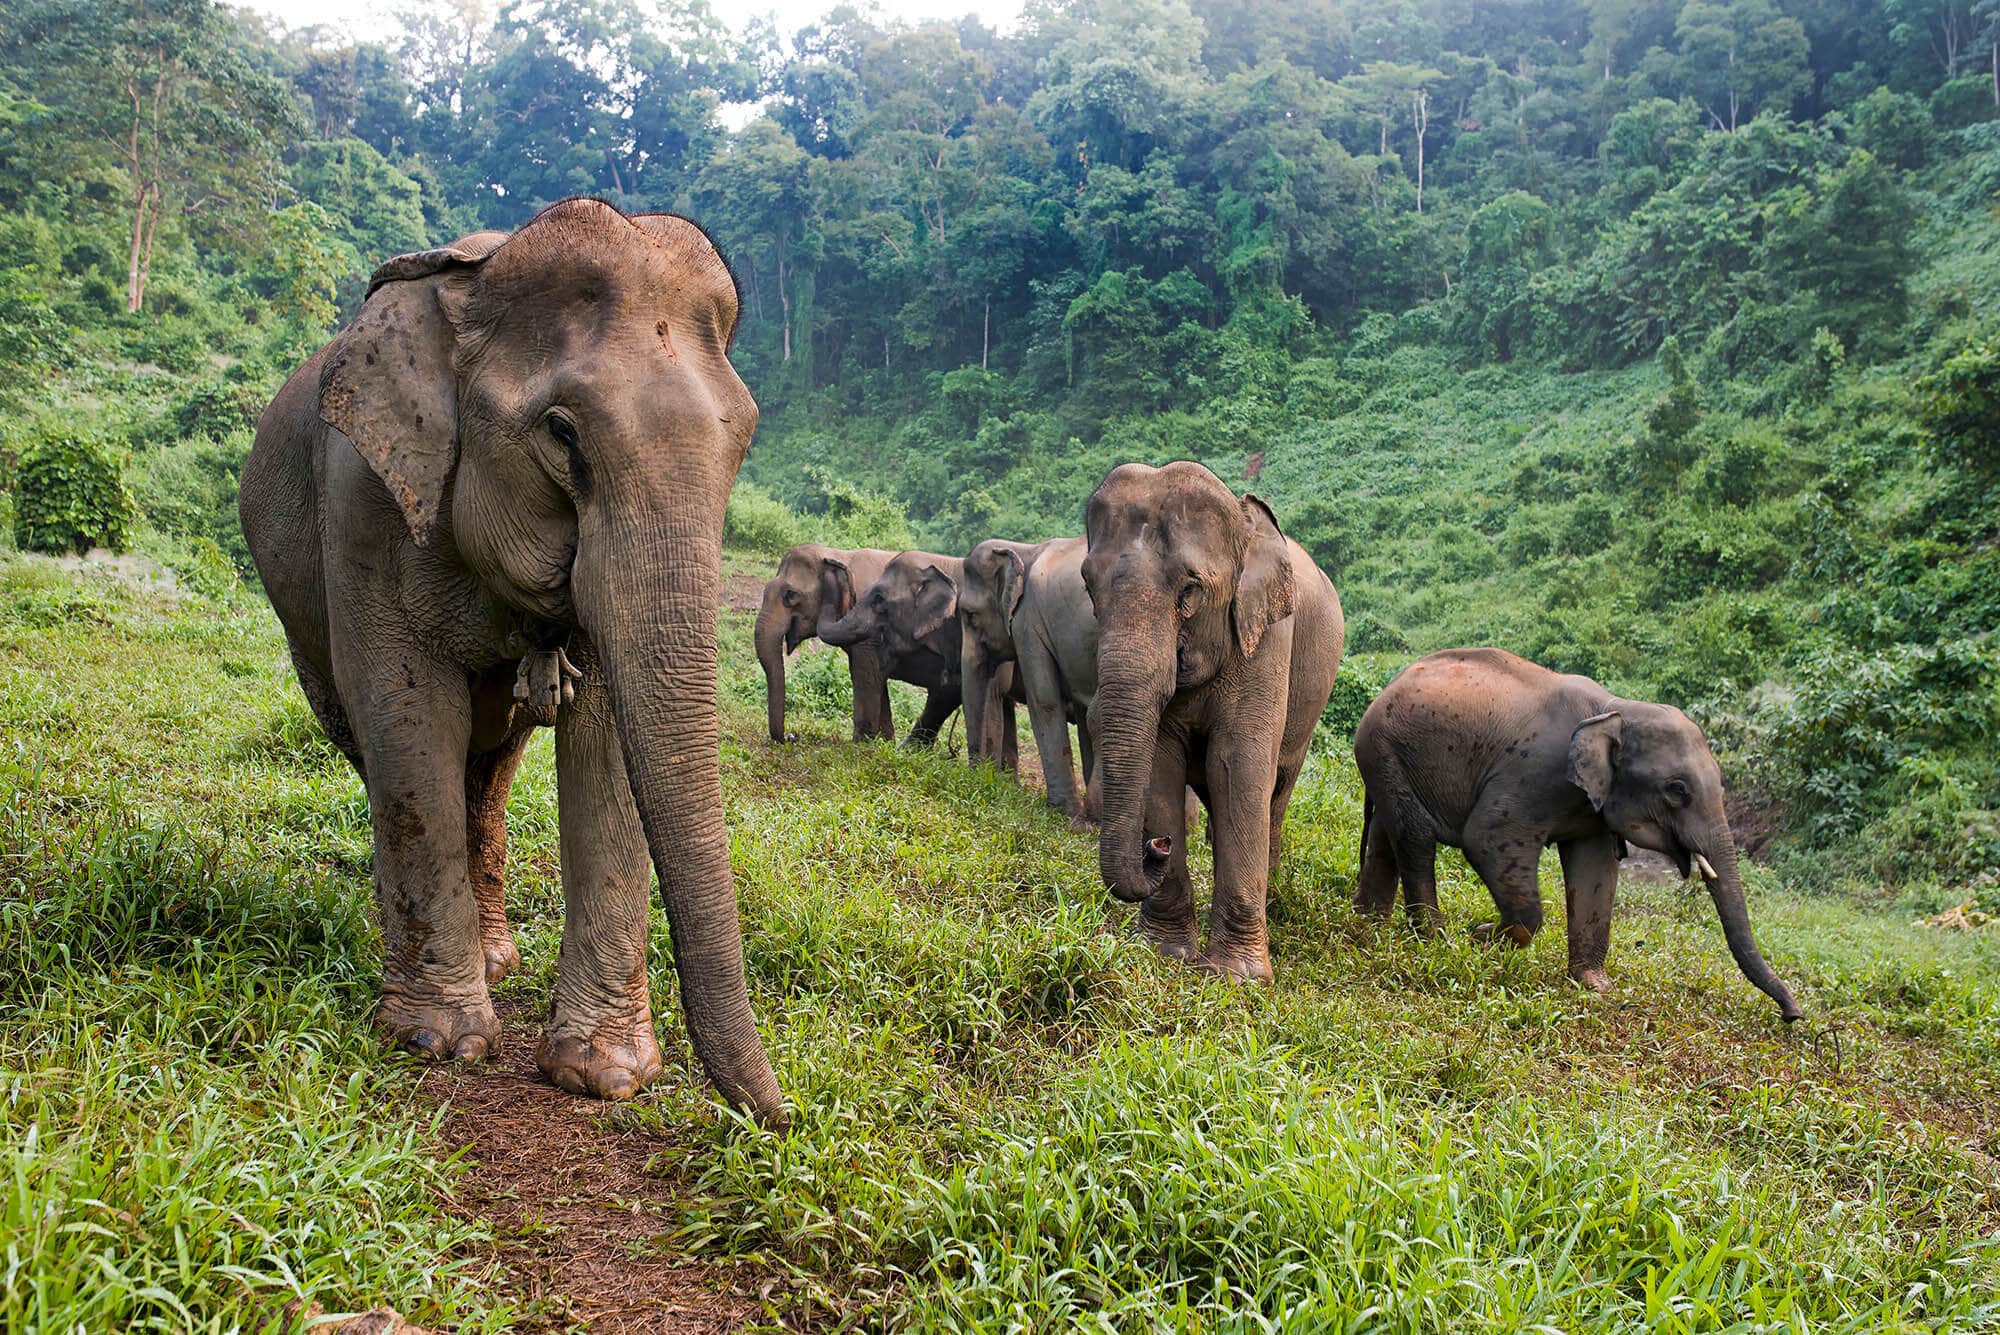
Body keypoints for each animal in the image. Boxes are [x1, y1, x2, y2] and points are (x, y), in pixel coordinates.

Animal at [237, 198, 785, 1125]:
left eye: (743, 439)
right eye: (562, 434)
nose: (784, 1115)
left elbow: (604, 735)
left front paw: (603, 1074)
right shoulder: (362, 498)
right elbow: (408, 713)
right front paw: (437, 1042)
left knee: (491, 765)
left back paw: (496, 959)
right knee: (382, 744)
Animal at [753, 544, 898, 743]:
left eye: (790, 595)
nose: (792, 736)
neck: (838, 555)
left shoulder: (870, 627)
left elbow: (865, 674)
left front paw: (861, 743)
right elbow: (876, 677)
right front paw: (885, 743)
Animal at [959, 536, 1100, 820]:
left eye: (970, 615)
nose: (976, 778)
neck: (1026, 550)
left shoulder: (1028, 623)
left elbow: (1045, 701)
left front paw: (1065, 814)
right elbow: (1084, 717)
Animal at [1085, 462, 1344, 981]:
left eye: (1190, 590)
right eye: (1087, 585)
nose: (1157, 845)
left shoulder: (1266, 641)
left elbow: (1238, 765)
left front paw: (1238, 977)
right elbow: (1161, 762)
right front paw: (1165, 955)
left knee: (1275, 793)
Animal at [1351, 648, 1802, 1021]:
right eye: (1677, 791)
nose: (1793, 1015)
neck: (1615, 708)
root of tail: (1391, 682)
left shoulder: (1592, 808)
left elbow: (1595, 871)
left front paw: (1594, 986)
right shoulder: (1532, 773)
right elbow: (1486, 837)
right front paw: (1479, 938)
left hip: (1391, 759)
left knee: (1389, 836)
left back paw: (1371, 922)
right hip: (1384, 746)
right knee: (1416, 838)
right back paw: (1434, 939)